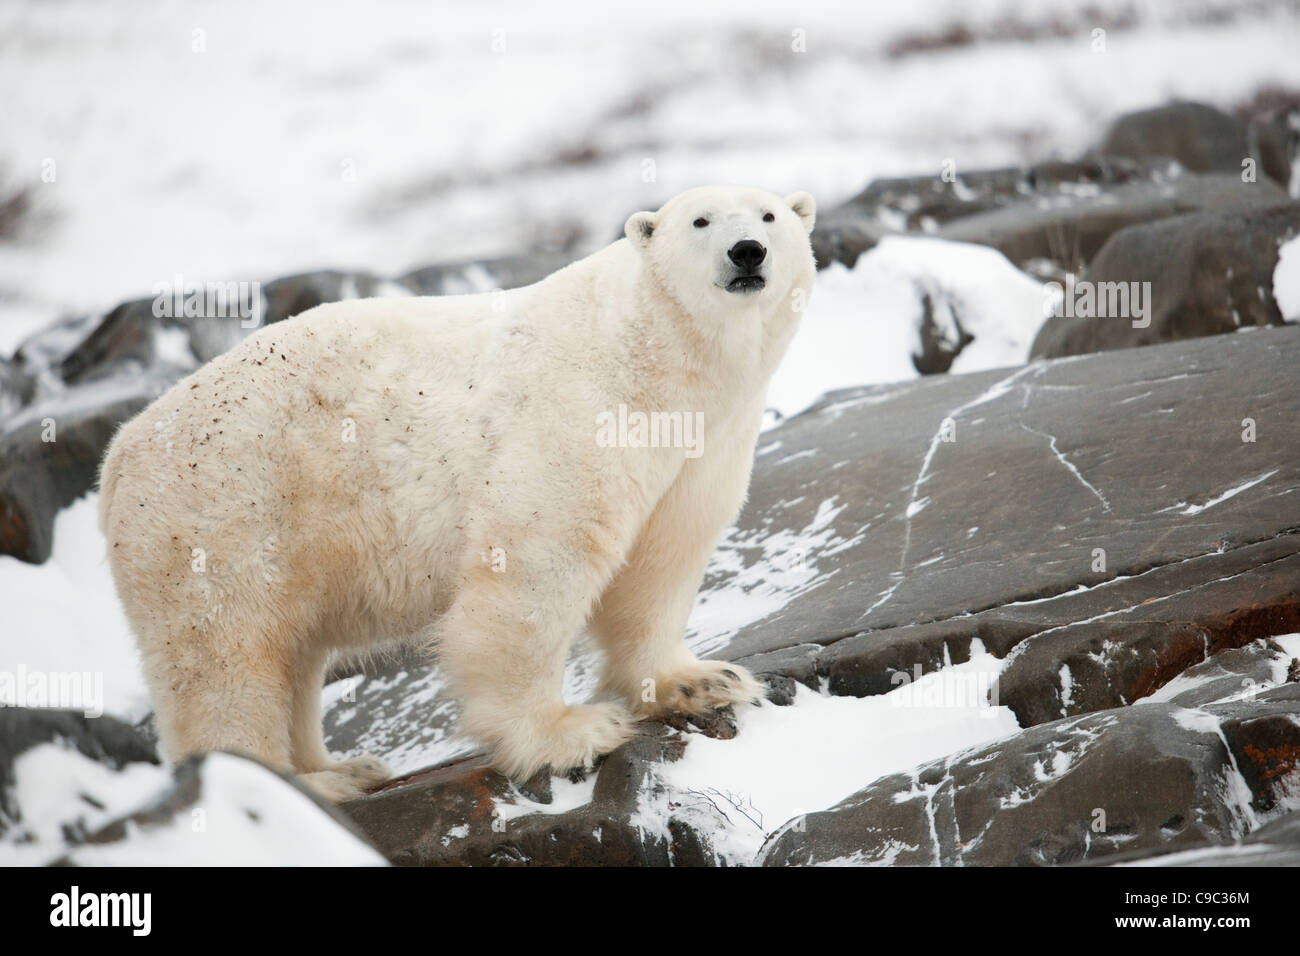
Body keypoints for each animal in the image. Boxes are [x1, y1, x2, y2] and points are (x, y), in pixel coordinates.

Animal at [98, 184, 817, 801]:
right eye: (700, 221)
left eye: (769, 215)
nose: (747, 251)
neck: (653, 360)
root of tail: (119, 456)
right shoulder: (576, 413)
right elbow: (535, 565)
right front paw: (567, 734)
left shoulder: (703, 449)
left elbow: (663, 560)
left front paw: (704, 681)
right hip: (220, 515)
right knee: (225, 664)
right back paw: (295, 785)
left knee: (291, 657)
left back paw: (343, 767)